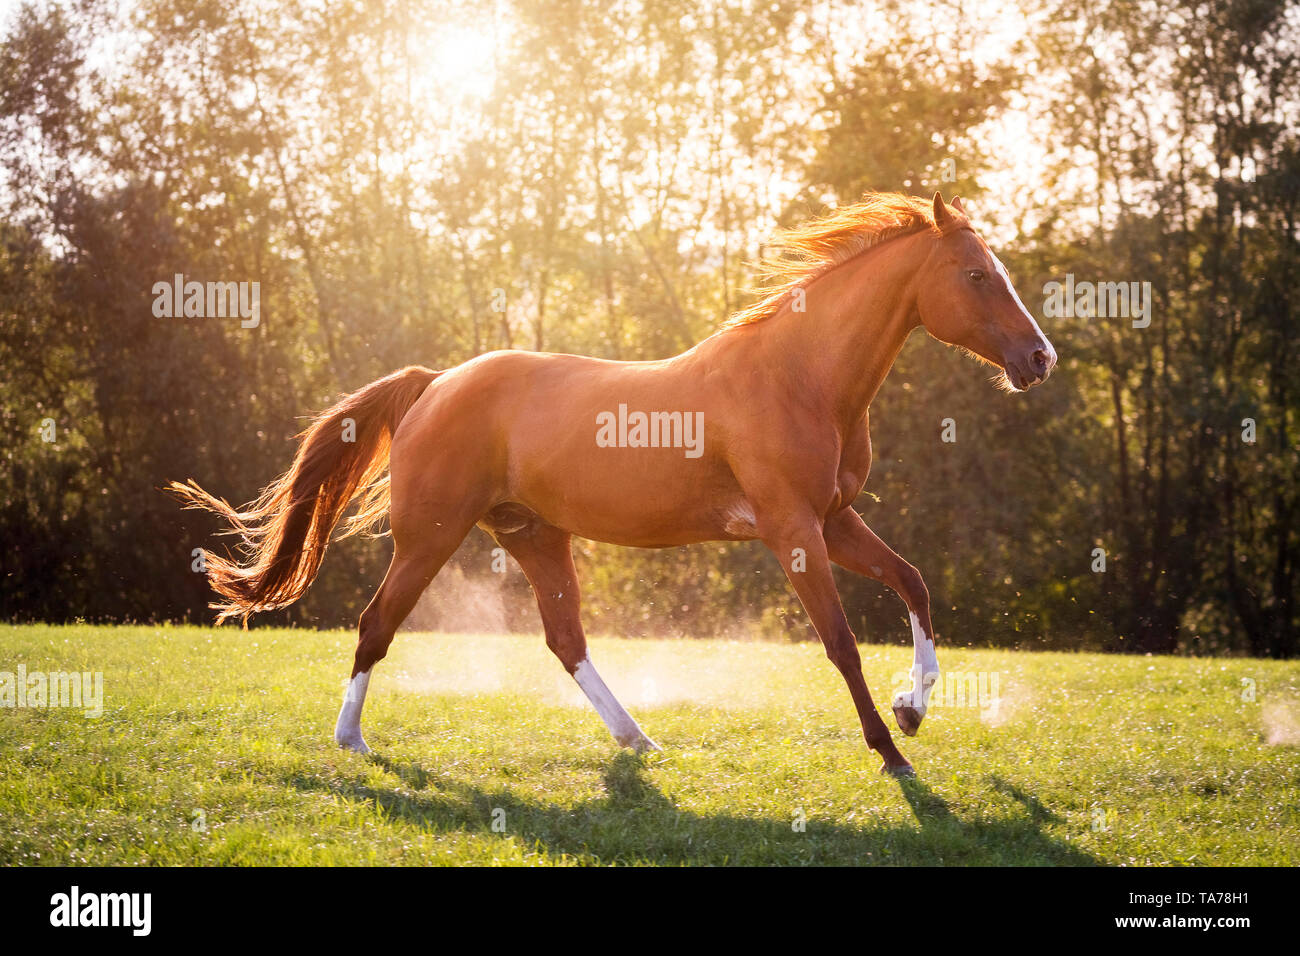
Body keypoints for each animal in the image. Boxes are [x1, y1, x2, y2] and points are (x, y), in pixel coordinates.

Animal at [169, 191, 1056, 776]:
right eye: (976, 275)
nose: (1038, 358)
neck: (797, 376)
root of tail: (434, 383)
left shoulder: (835, 519)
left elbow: (914, 583)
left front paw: (913, 709)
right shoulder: (793, 531)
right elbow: (839, 641)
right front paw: (891, 752)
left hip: (534, 537)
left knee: (565, 641)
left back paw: (638, 738)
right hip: (430, 538)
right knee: (374, 624)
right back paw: (352, 741)